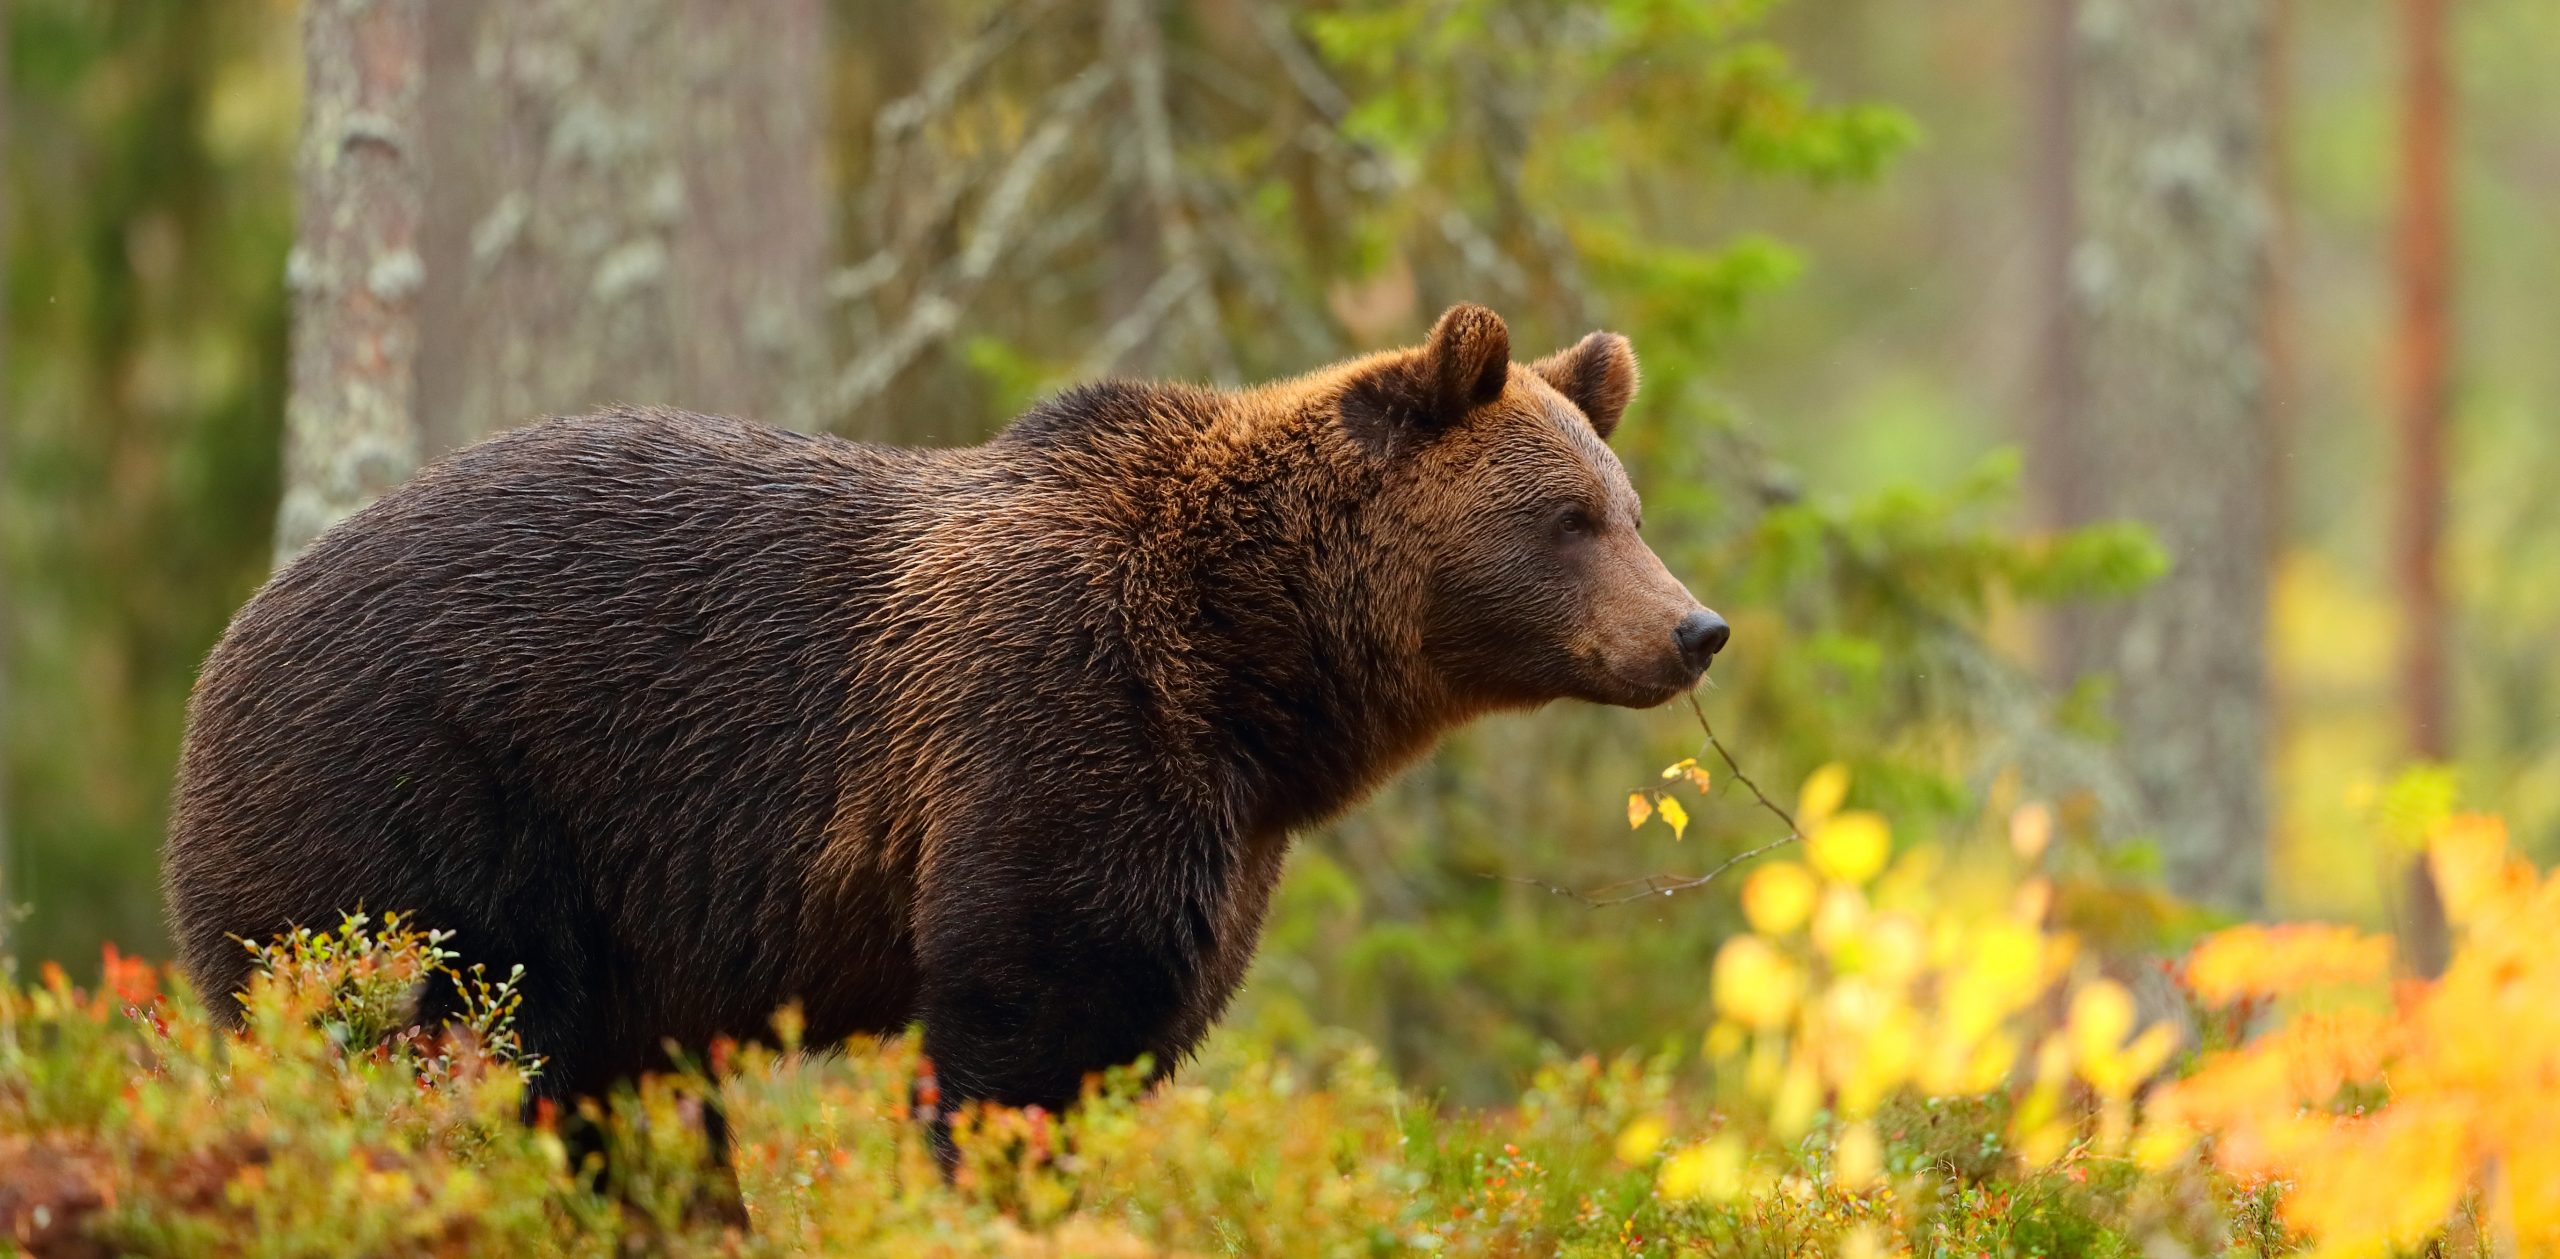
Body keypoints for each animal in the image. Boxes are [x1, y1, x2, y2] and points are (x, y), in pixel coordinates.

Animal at [163, 302, 1727, 1132]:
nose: (1695, 627)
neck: (1251, 674)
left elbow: (1132, 1029)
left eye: (1630, 507)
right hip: (417, 813)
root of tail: (224, 641)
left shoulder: (1216, 841)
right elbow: (1021, 1020)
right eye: (1568, 516)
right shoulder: (1050, 721)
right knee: (431, 1034)